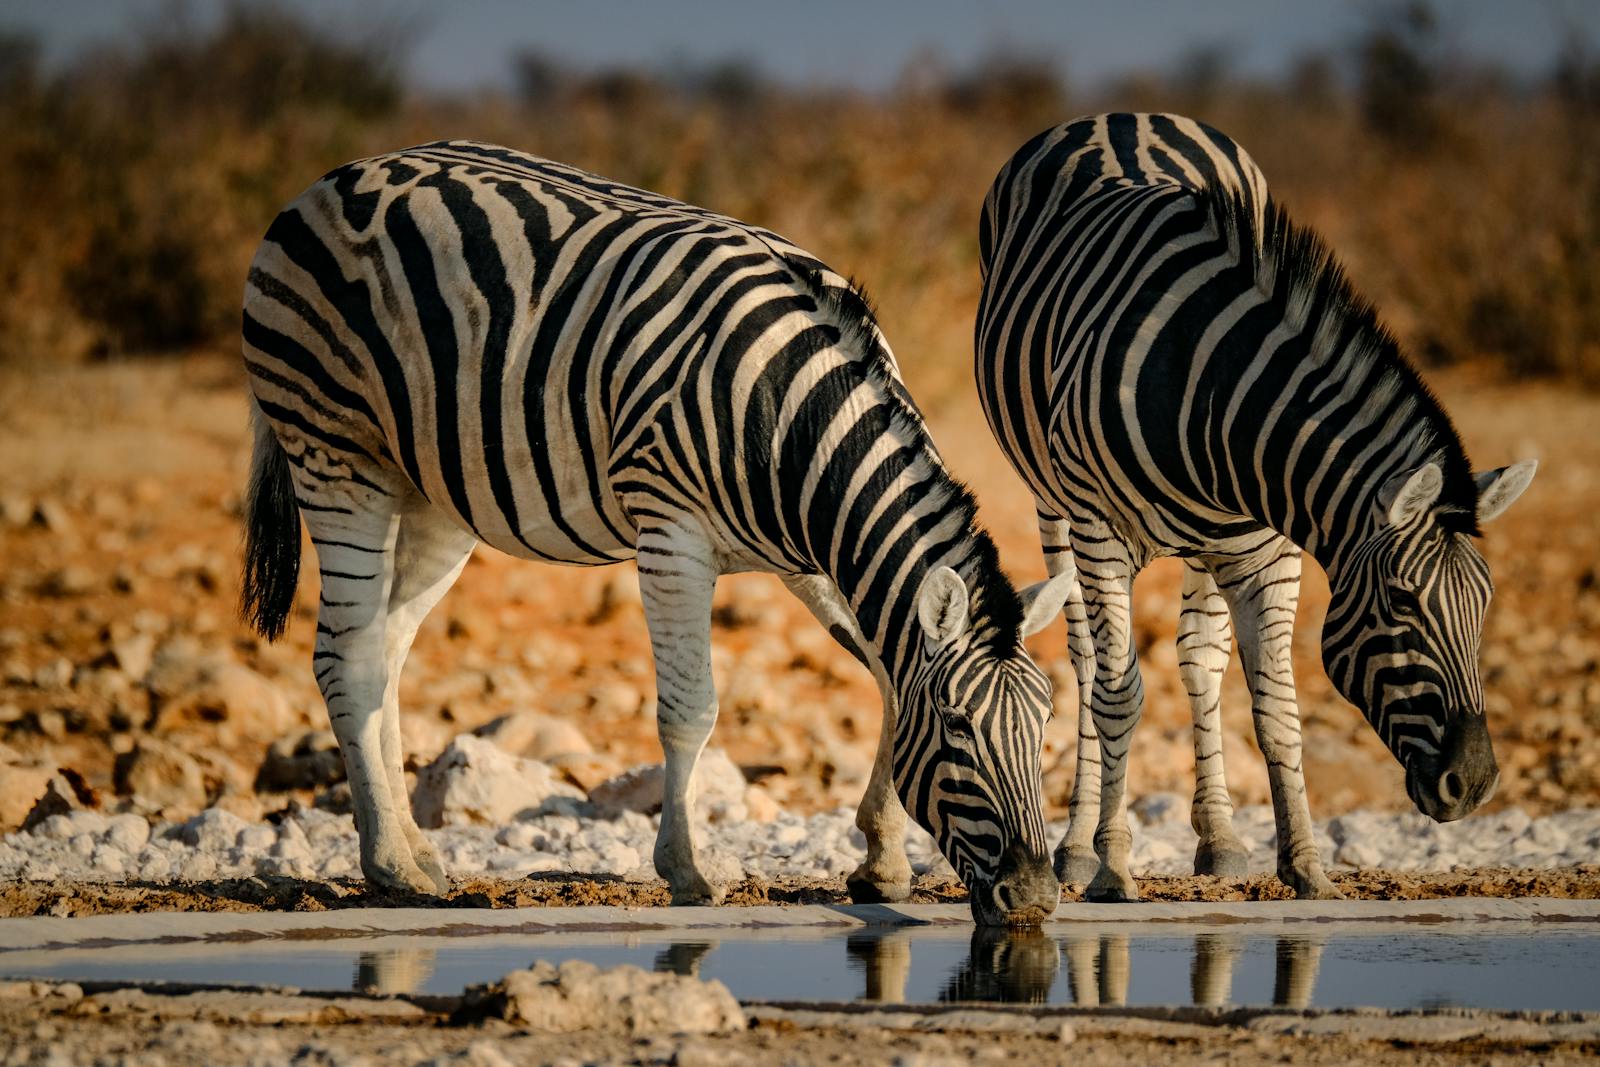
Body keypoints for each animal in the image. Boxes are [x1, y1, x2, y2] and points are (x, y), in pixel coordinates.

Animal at [239, 140, 1076, 924]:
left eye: (1044, 725)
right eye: (959, 728)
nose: (1036, 896)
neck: (793, 418)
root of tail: (331, 179)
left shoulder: (812, 557)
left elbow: (886, 674)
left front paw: (882, 858)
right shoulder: (673, 535)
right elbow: (691, 709)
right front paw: (687, 869)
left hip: (431, 491)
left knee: (386, 651)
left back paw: (415, 850)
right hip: (336, 452)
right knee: (346, 656)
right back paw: (389, 865)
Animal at [975, 113, 1536, 901]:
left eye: (1483, 604)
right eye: (1400, 603)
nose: (1477, 783)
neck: (1208, 388)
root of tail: (1125, 114)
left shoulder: (1271, 550)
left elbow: (1276, 708)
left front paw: (1306, 865)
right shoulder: (1099, 529)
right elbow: (1118, 693)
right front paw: (1113, 868)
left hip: (1211, 545)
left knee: (1199, 660)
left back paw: (1220, 838)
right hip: (1052, 502)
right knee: (1087, 663)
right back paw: (1080, 847)